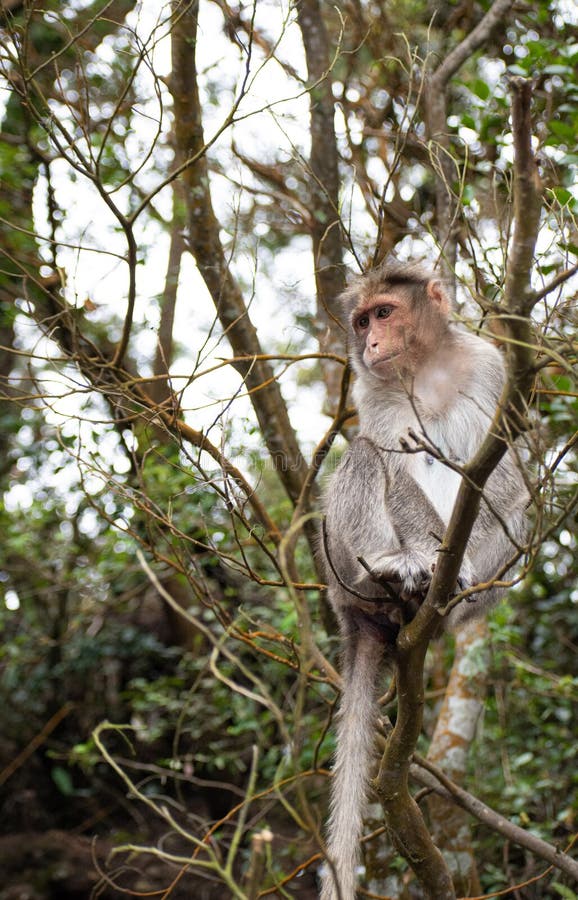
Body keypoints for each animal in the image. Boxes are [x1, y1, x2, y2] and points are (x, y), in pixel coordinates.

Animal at [320, 261, 528, 900]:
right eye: (362, 322)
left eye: (385, 313)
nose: (369, 344)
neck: (425, 367)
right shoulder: (373, 391)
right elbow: (391, 457)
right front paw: (427, 557)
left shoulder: (491, 364)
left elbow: (507, 474)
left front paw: (459, 560)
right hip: (342, 571)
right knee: (364, 453)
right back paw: (397, 572)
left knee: (522, 508)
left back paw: (447, 599)